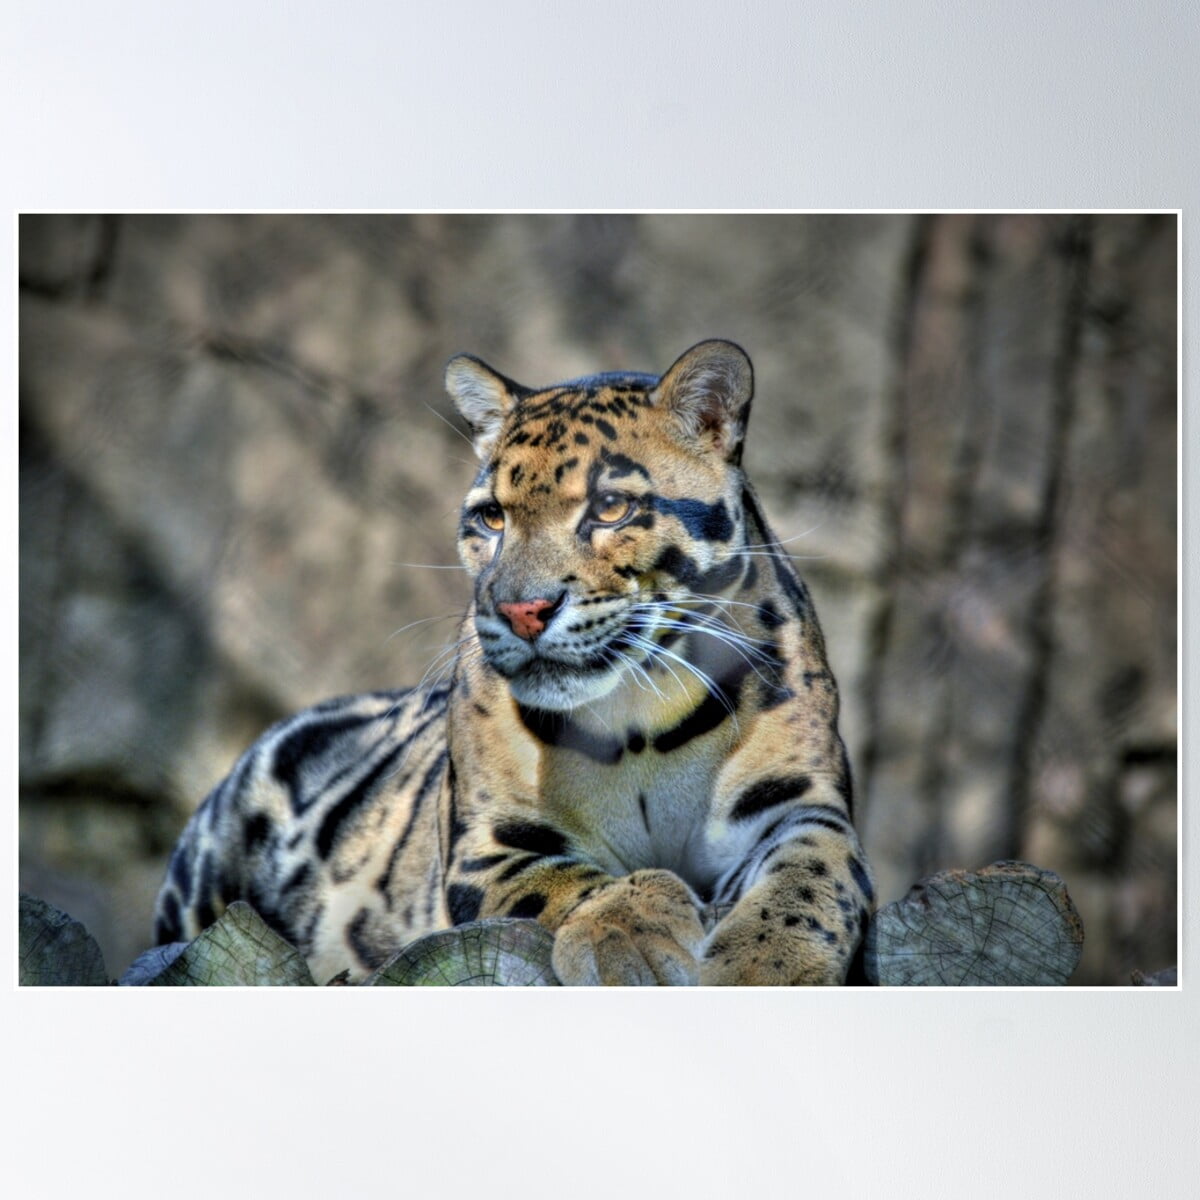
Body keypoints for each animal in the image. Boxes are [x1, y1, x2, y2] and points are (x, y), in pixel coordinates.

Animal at [153, 339, 875, 985]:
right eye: (492, 518)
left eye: (610, 507)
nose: (522, 610)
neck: (641, 716)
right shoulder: (488, 845)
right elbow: (565, 880)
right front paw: (631, 935)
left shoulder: (799, 802)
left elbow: (810, 874)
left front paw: (767, 964)